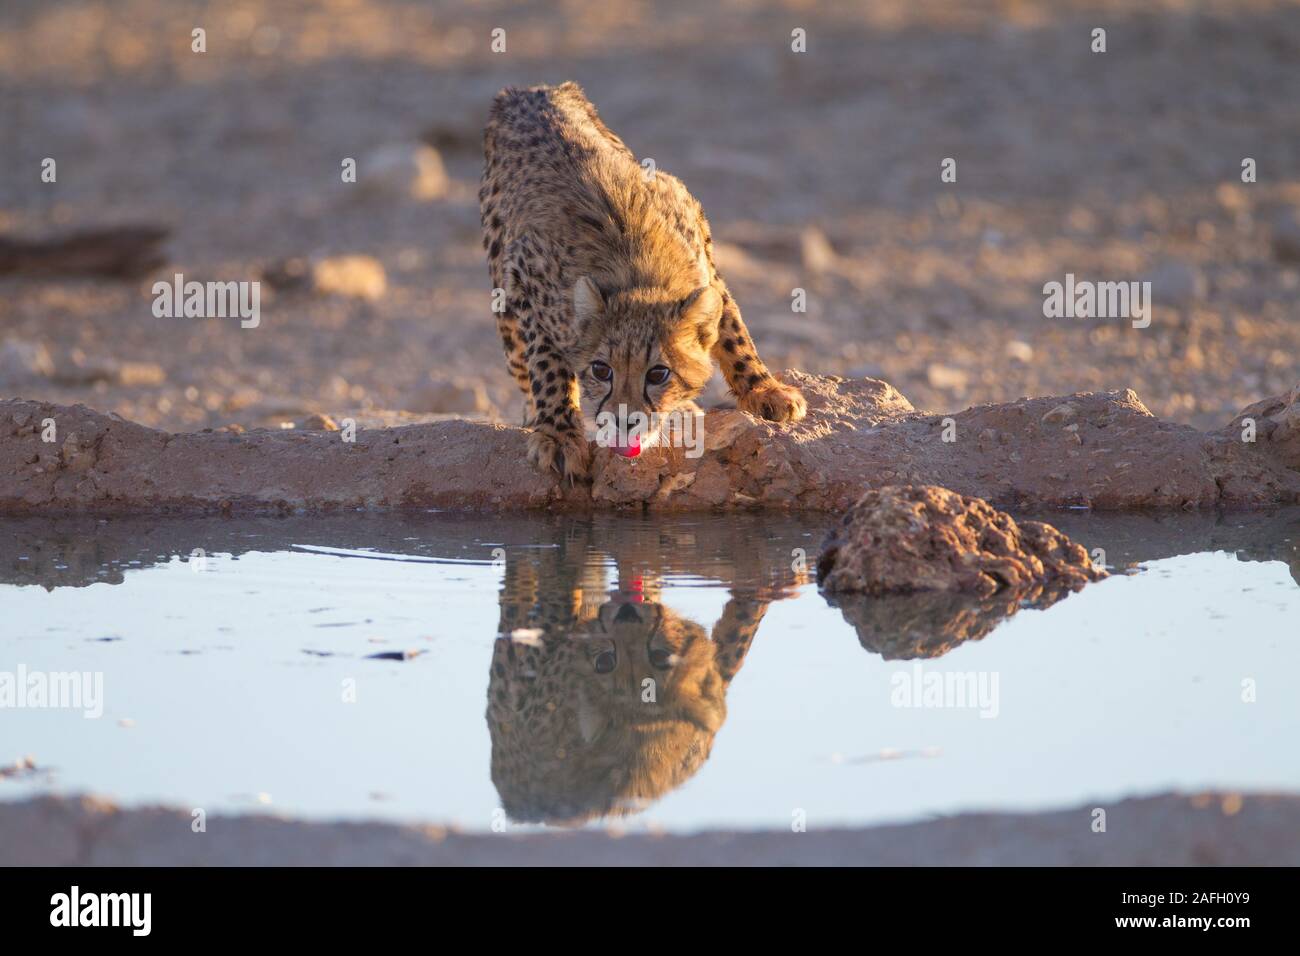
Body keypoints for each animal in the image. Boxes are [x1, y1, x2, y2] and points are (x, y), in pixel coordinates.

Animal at [479, 82, 807, 481]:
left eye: (659, 373)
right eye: (601, 370)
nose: (625, 421)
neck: (638, 272)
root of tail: (532, 89)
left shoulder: (703, 256)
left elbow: (733, 331)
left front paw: (766, 390)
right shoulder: (525, 273)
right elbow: (547, 364)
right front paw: (558, 435)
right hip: (506, 312)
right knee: (522, 366)